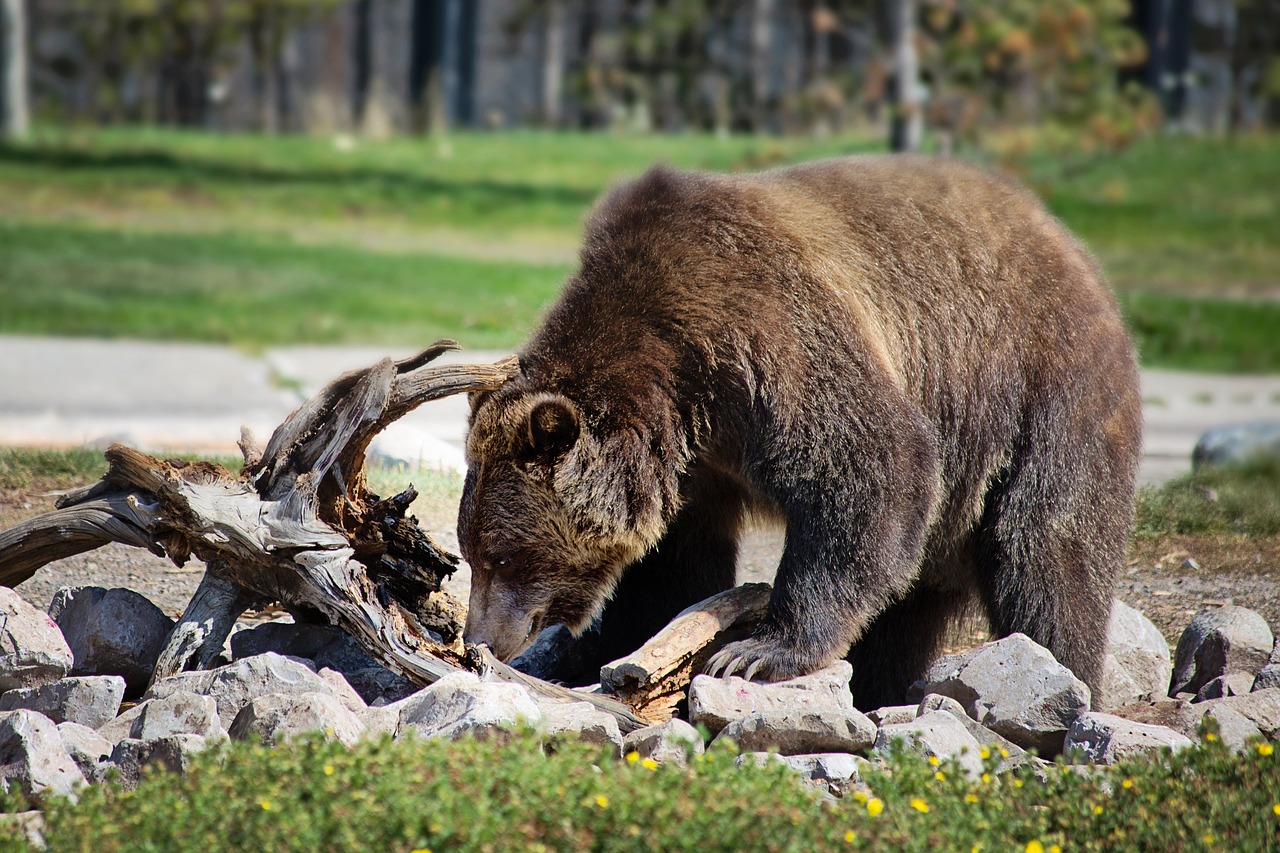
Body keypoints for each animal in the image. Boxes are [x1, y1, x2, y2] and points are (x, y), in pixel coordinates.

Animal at [458, 155, 1142, 710]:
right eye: (472, 552)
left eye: (500, 556)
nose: (478, 639)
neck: (677, 388)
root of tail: (1066, 240)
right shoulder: (695, 466)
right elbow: (672, 569)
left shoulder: (764, 334)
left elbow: (869, 464)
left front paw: (756, 651)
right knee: (907, 608)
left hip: (1039, 392)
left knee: (1046, 553)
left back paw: (1064, 674)